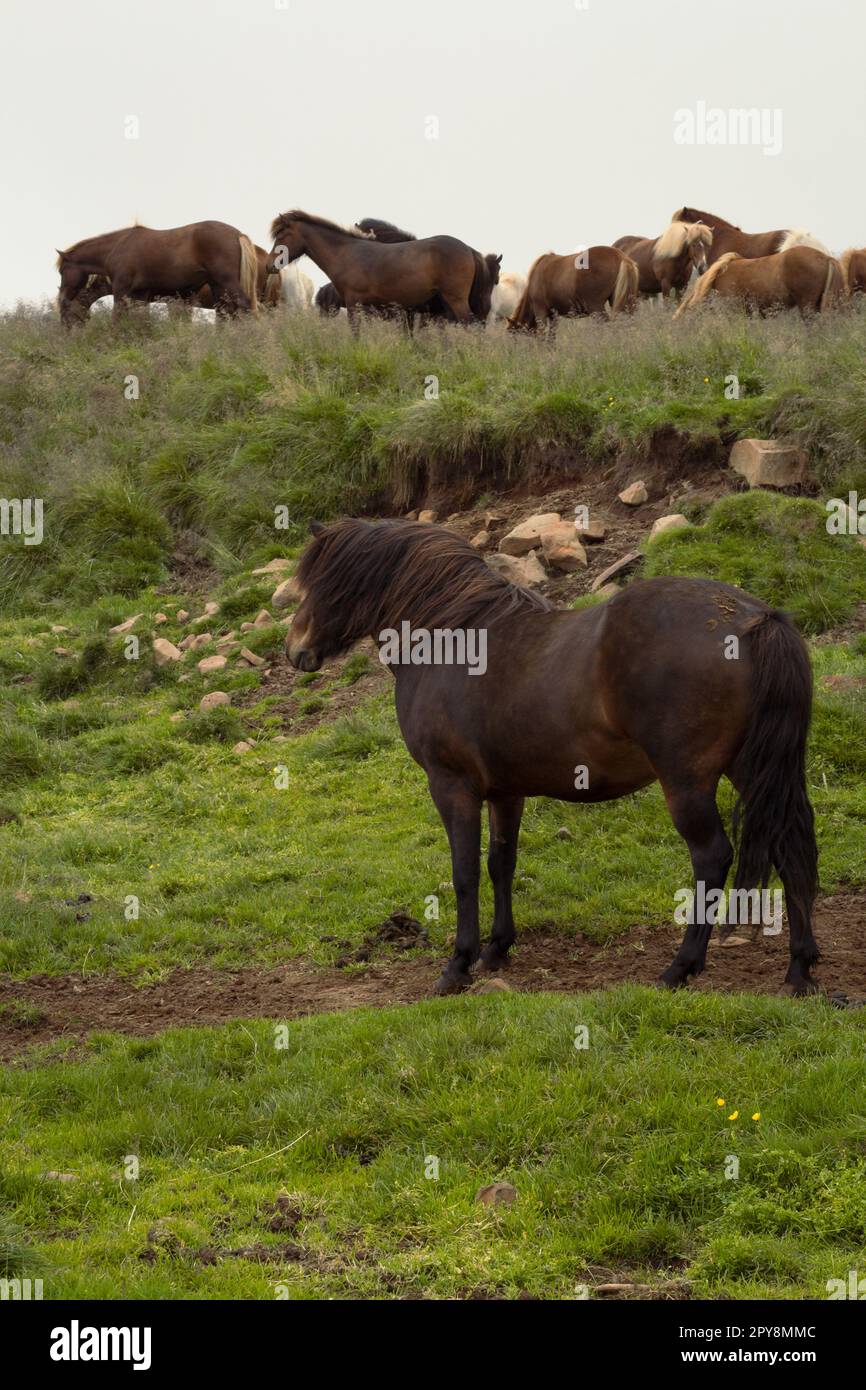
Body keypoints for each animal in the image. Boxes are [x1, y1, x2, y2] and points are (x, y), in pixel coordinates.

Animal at [56, 221, 259, 325]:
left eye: (61, 270)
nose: (62, 298)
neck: (117, 247)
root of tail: (237, 234)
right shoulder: (140, 296)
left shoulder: (121, 292)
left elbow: (116, 319)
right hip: (218, 287)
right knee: (225, 312)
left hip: (228, 282)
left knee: (244, 305)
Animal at [267, 210, 483, 325]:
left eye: (281, 235)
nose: (270, 265)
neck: (346, 254)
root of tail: (468, 249)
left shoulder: (354, 303)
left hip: (456, 299)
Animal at [287, 518, 819, 998]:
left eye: (320, 585)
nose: (295, 650)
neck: (453, 635)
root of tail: (752, 619)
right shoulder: (506, 791)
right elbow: (501, 863)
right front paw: (496, 949)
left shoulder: (452, 785)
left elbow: (464, 873)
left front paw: (457, 966)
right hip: (755, 771)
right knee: (788, 844)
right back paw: (799, 971)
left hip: (686, 783)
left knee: (712, 857)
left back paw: (679, 968)